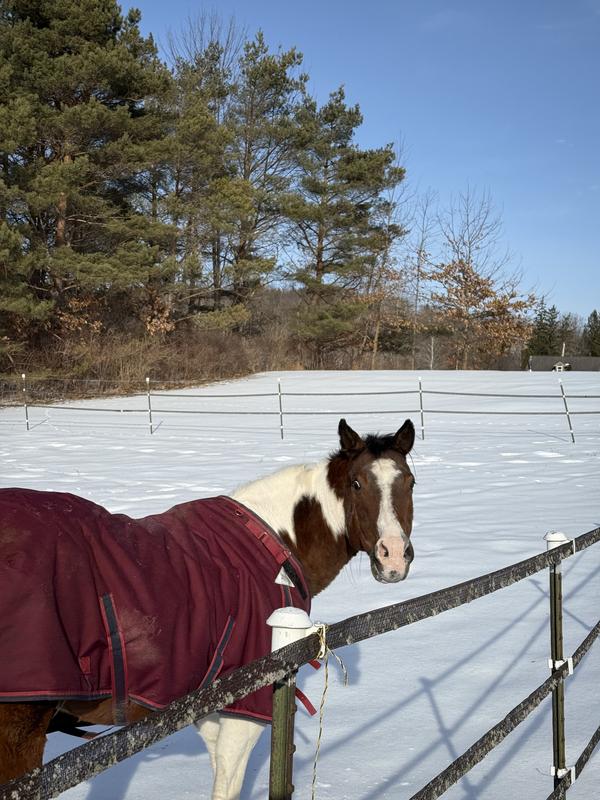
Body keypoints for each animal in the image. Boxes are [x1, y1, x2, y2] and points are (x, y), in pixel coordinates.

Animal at [0, 418, 416, 800]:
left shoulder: (210, 706)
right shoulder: (245, 710)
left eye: (409, 482)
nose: (393, 556)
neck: (276, 545)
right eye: (357, 484)